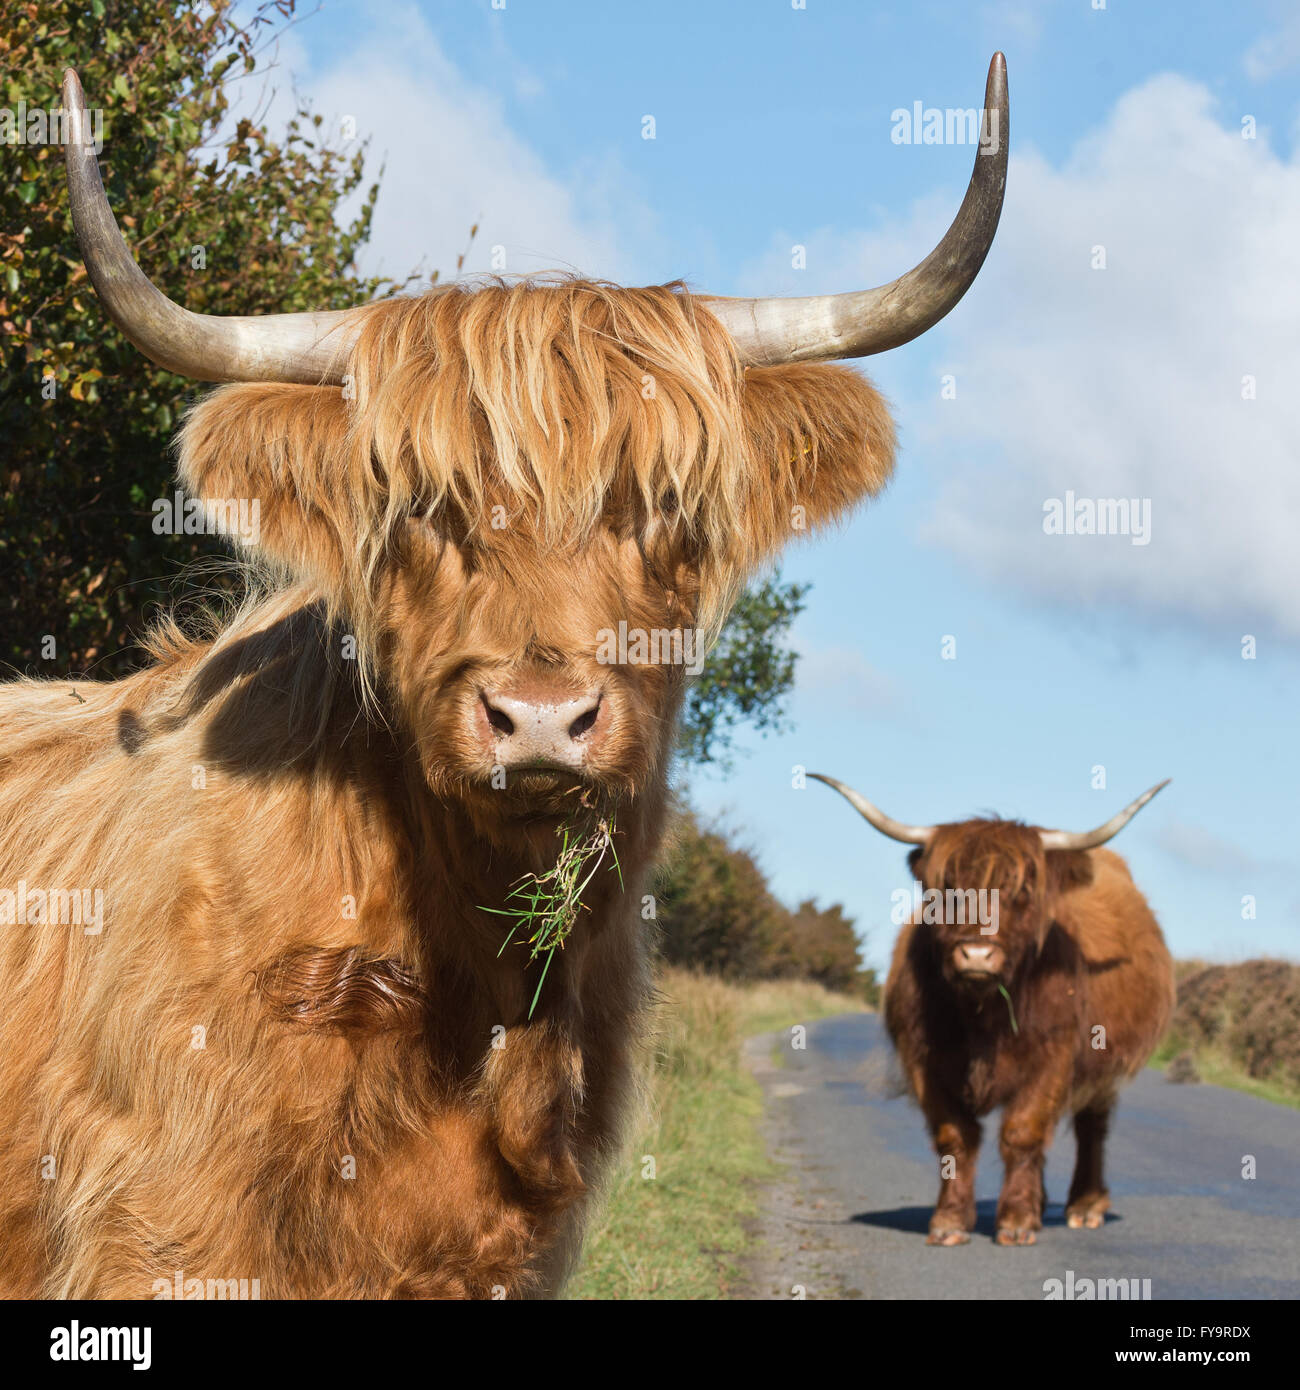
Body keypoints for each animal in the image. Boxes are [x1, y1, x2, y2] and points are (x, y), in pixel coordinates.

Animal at [810, 773, 1175, 1248]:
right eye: (947, 889)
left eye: (1022, 893)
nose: (978, 954)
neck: (983, 1014)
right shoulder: (926, 1062)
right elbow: (954, 1138)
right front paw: (950, 1221)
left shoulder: (1052, 1057)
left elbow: (1023, 1131)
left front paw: (1016, 1222)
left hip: (1104, 1066)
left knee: (1091, 1125)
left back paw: (1085, 1205)